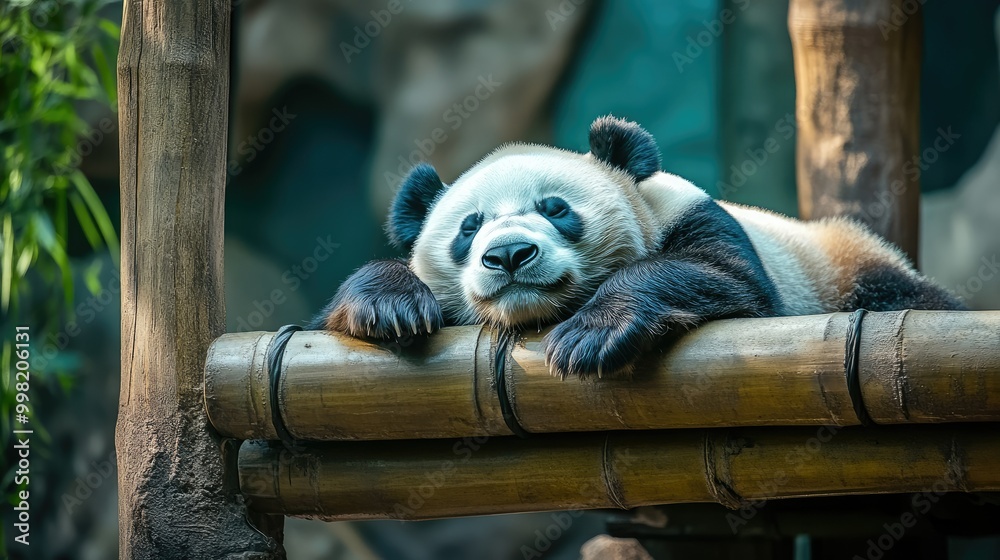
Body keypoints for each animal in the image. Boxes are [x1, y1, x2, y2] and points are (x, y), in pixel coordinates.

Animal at [311, 116, 963, 379]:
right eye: (469, 228)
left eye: (555, 208)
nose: (510, 255)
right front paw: (390, 307)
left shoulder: (695, 215)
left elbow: (724, 278)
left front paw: (589, 337)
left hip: (847, 268)